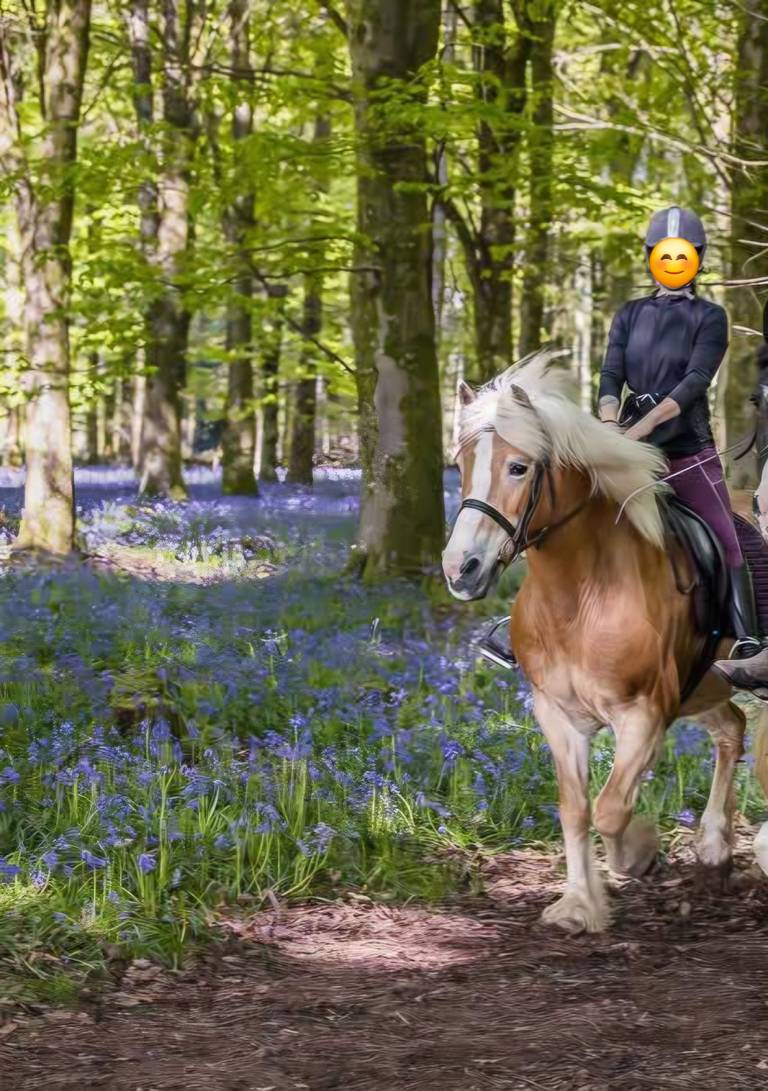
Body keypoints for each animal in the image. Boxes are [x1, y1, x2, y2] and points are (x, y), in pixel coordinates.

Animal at [442, 349, 768, 933]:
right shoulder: (557, 713)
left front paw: (638, 853)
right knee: (730, 729)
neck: (579, 596)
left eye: (518, 467)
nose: (462, 569)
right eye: (461, 465)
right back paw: (714, 842)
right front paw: (579, 903)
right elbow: (575, 808)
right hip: (704, 684)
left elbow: (613, 808)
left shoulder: (644, 713)